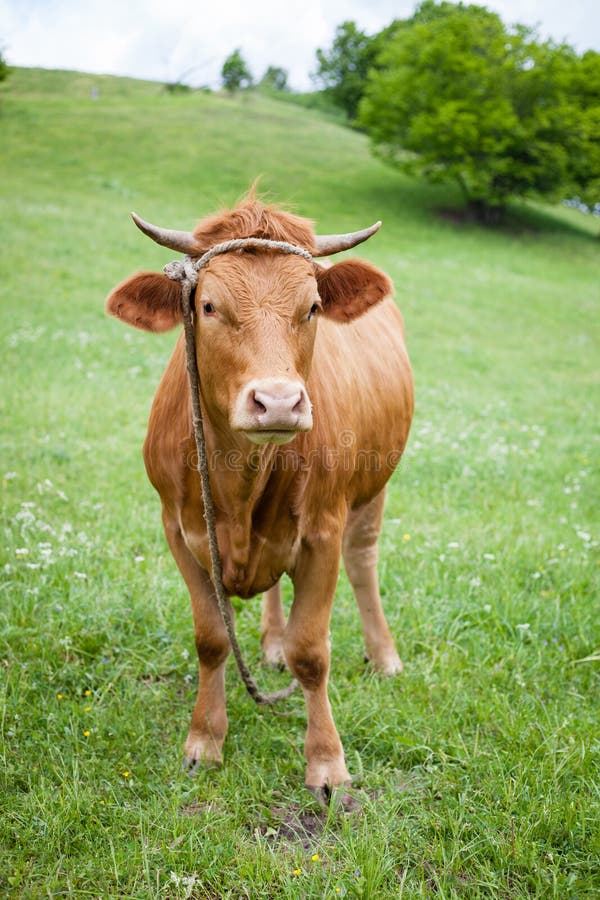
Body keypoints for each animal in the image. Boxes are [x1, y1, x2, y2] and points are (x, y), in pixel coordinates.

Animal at [105, 193, 413, 798]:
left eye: (313, 306)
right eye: (208, 306)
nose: (278, 402)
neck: (240, 484)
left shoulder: (322, 532)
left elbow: (311, 653)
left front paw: (327, 764)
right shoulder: (178, 530)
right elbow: (211, 639)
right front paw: (204, 741)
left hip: (374, 489)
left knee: (363, 562)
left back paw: (384, 655)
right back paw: (270, 643)